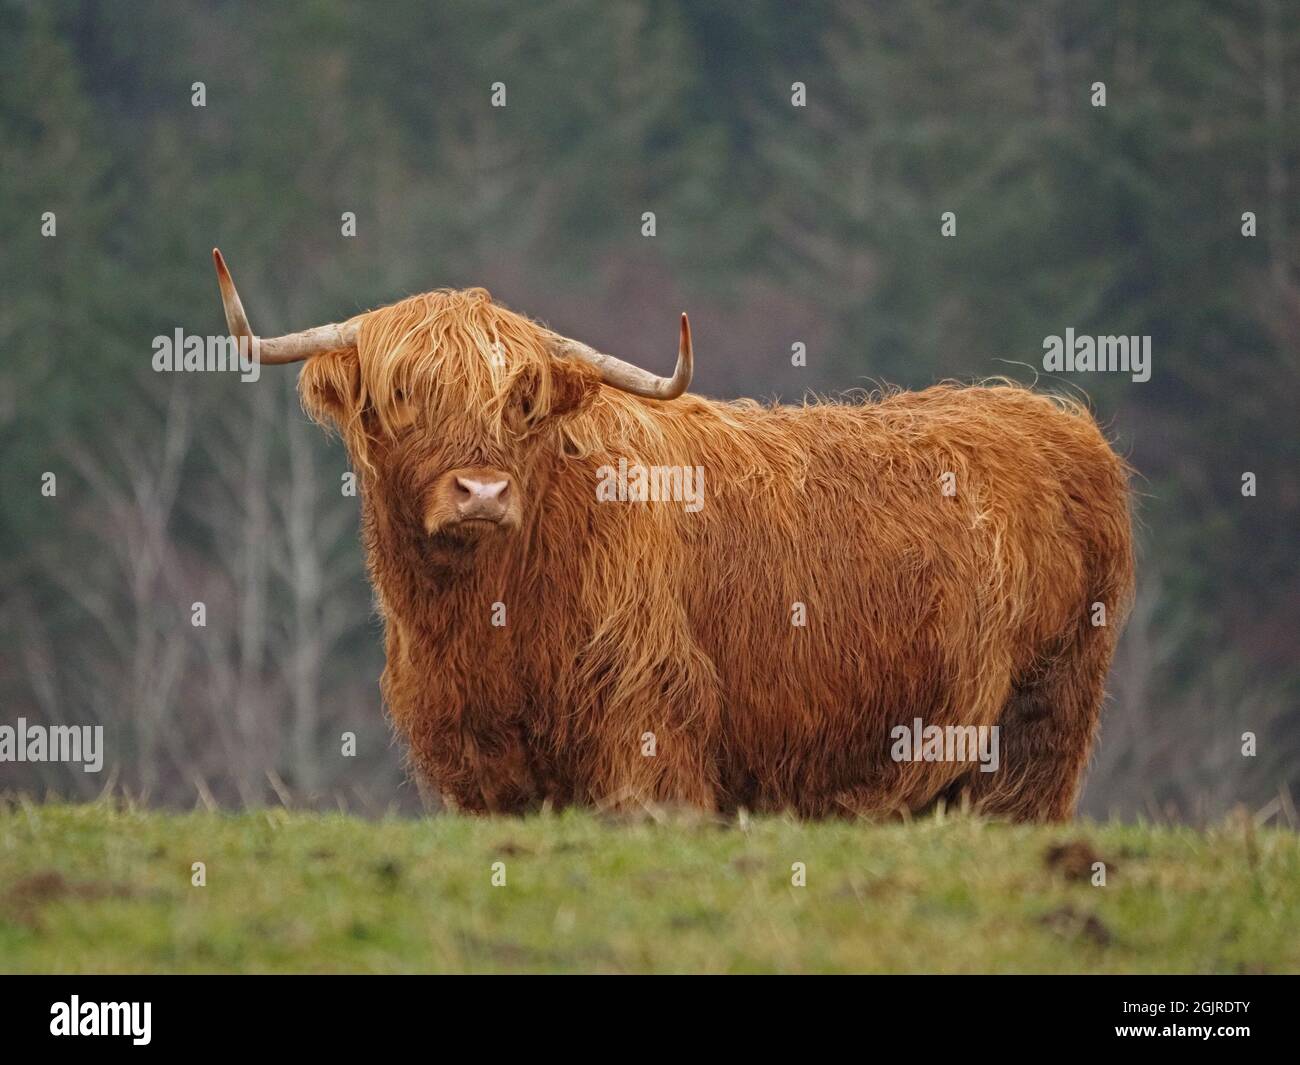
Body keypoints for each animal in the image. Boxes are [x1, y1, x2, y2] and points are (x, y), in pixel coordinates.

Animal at [211, 248, 1134, 821]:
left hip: (1037, 723)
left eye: (522, 400)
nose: (482, 490)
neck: (489, 614)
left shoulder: (648, 730)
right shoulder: (475, 761)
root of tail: (1054, 419)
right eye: (402, 395)